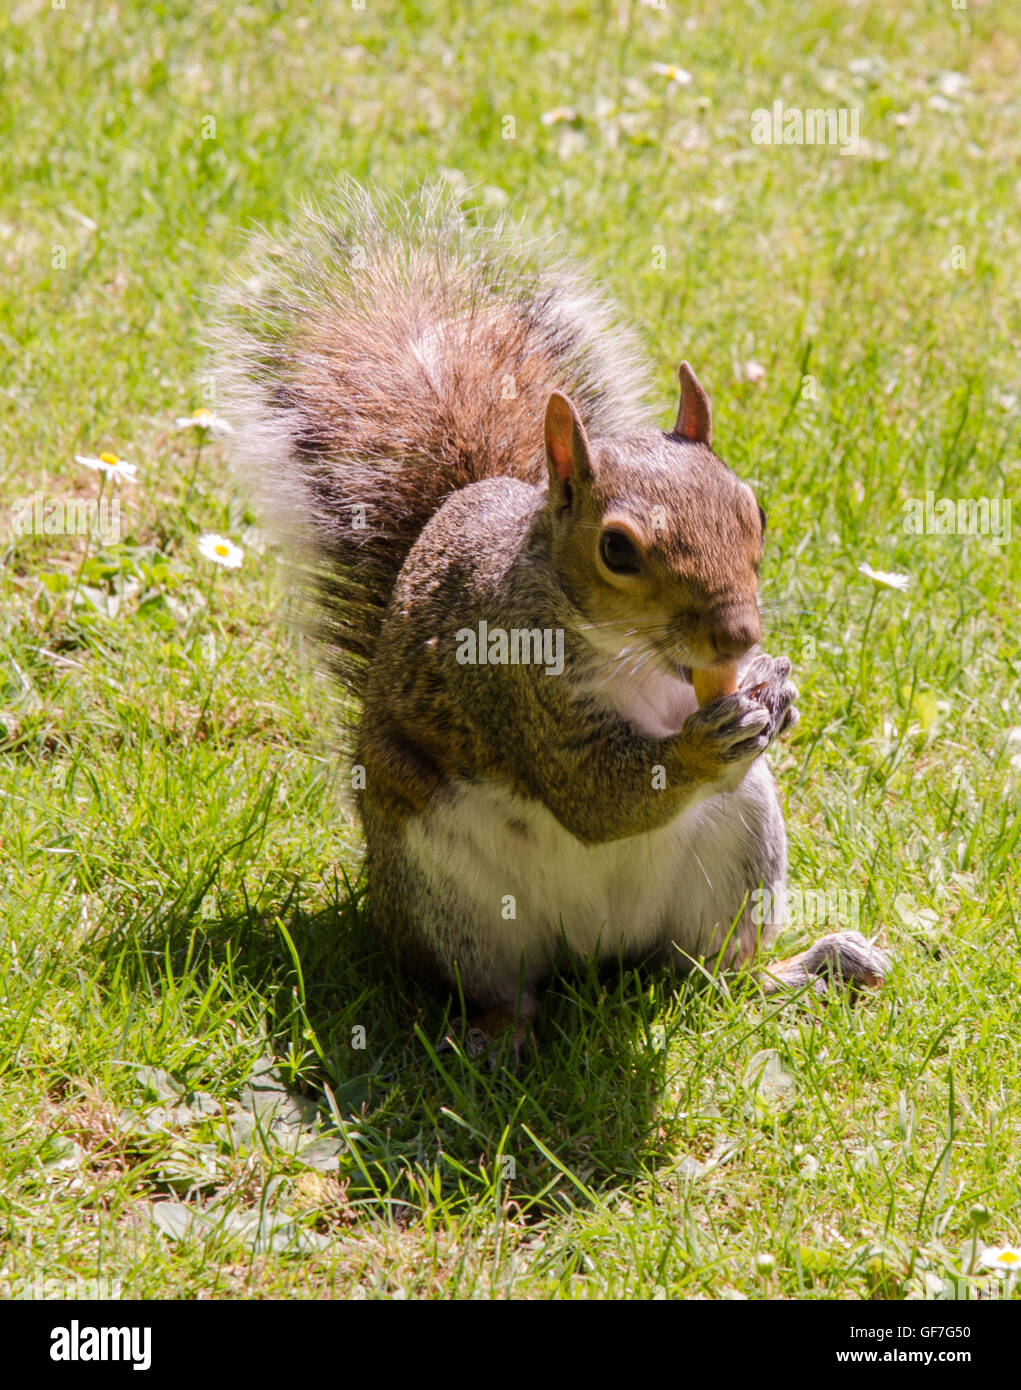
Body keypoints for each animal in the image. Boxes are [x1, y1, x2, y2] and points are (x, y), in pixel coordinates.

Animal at [211, 181, 889, 1053]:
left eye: (755, 511)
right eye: (617, 549)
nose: (739, 637)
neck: (639, 663)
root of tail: (593, 952)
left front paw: (778, 688)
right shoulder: (512, 687)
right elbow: (593, 796)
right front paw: (702, 746)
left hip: (740, 843)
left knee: (708, 979)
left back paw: (811, 968)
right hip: (446, 898)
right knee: (508, 992)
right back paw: (488, 1042)